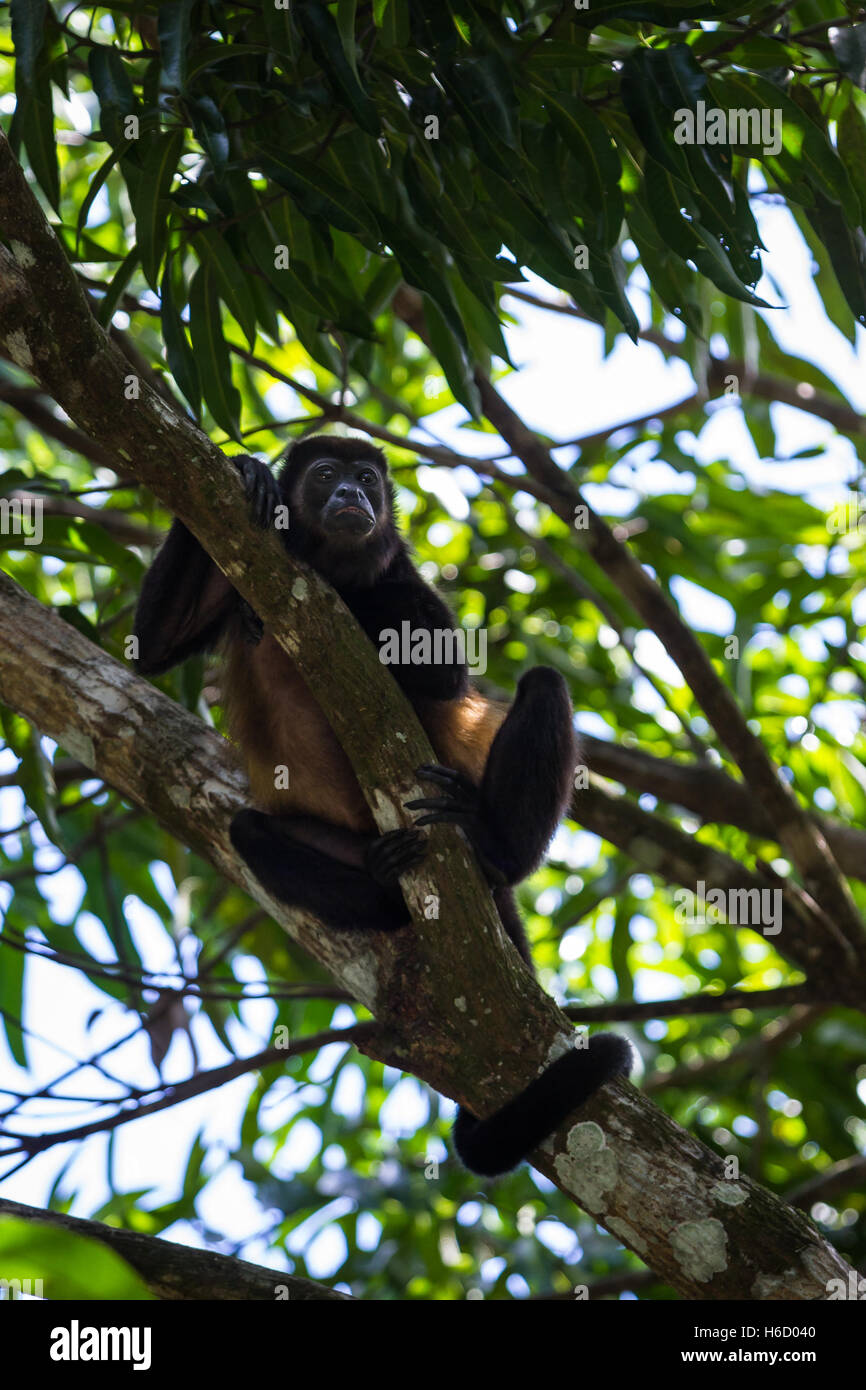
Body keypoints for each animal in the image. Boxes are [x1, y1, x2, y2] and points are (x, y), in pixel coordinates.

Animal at [134, 435, 632, 1175]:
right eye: (325, 475)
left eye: (367, 478)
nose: (351, 496)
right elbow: (154, 645)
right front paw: (249, 469)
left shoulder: (405, 573)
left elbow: (445, 671)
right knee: (249, 831)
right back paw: (382, 876)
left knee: (543, 686)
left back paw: (494, 853)